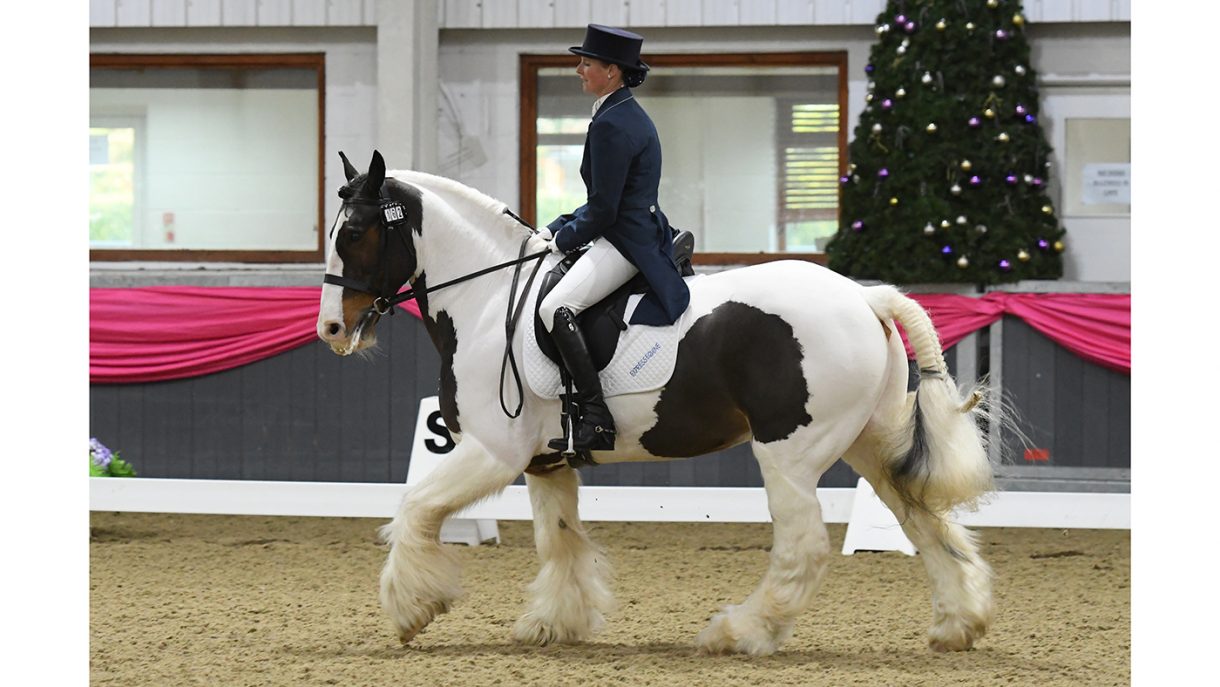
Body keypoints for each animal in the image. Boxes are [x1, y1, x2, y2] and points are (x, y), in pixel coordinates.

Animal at [316, 150, 997, 655]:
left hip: (790, 453)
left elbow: (416, 507)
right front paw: (555, 623)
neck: (488, 302)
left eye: (353, 232)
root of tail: (865, 297)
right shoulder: (546, 463)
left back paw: (739, 632)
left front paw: (411, 609)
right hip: (870, 445)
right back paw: (958, 624)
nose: (330, 329)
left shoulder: (493, 451)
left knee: (804, 547)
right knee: (925, 521)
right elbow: (559, 540)